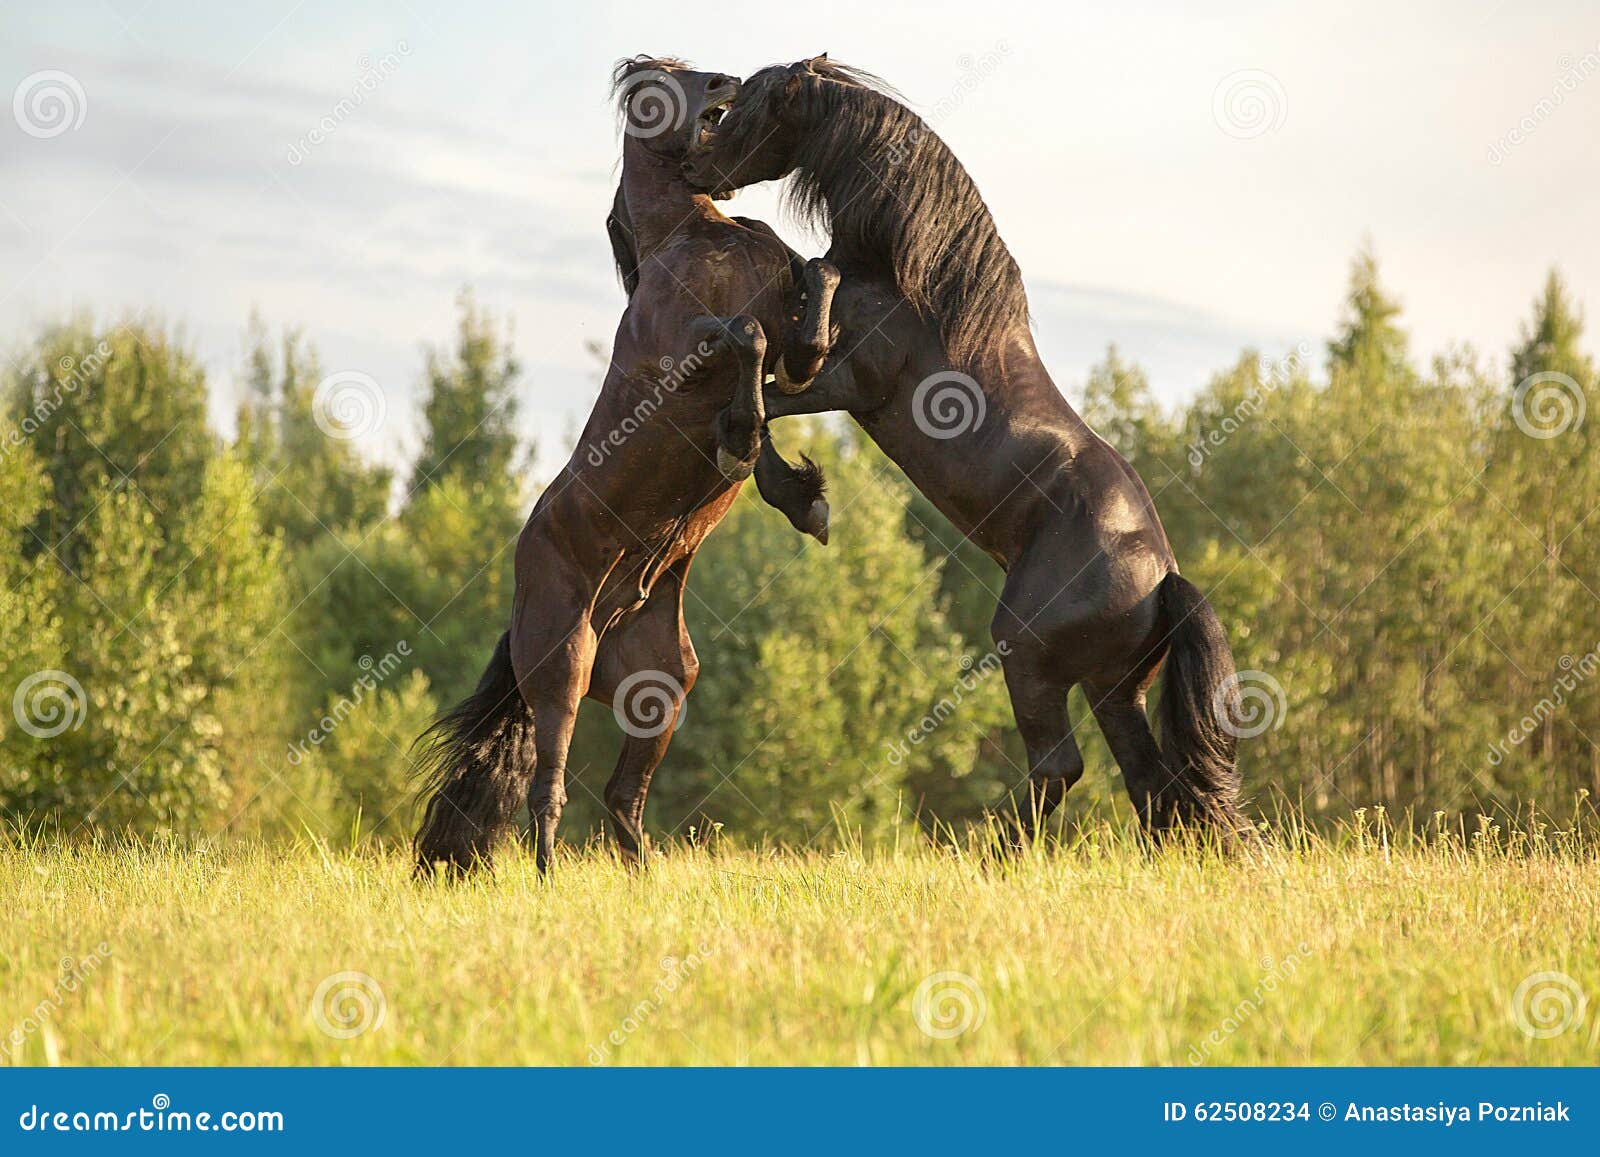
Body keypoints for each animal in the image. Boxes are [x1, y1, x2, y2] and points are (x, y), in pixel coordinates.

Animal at [413, 58, 840, 875]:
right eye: (661, 85)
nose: (726, 78)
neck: (695, 234)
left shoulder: (785, 313)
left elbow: (812, 307)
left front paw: (798, 483)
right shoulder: (691, 354)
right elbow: (744, 338)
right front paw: (745, 443)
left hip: (661, 686)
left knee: (621, 796)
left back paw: (644, 876)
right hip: (564, 667)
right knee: (548, 790)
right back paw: (548, 880)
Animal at [683, 56, 1253, 845]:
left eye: (755, 105)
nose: (693, 165)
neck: (913, 282)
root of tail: (1163, 577)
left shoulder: (851, 385)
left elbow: (775, 378)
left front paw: (791, 480)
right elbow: (765, 373)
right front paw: (800, 495)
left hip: (1029, 658)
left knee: (1060, 766)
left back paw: (997, 853)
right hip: (1113, 689)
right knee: (1150, 783)